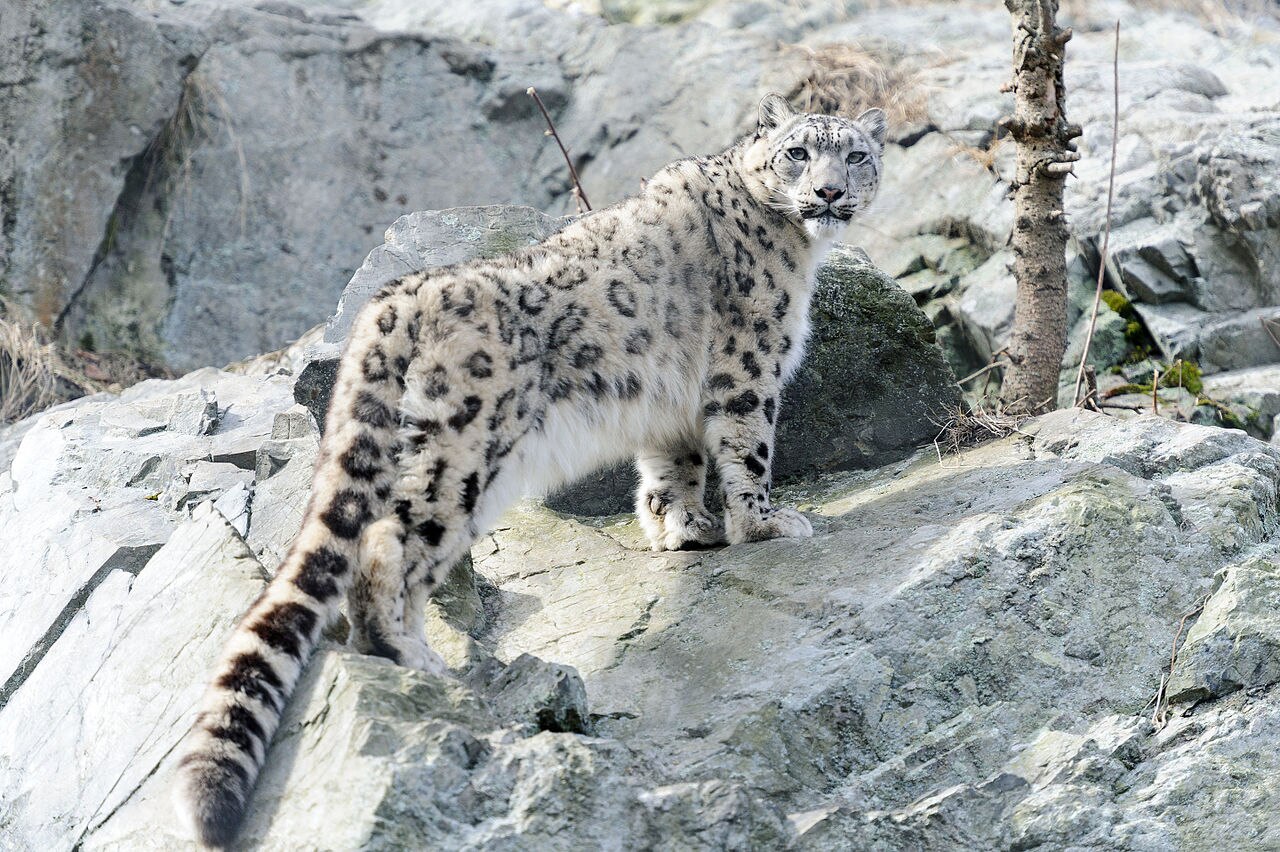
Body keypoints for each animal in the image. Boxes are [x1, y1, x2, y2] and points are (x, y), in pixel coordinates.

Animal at [174, 93, 886, 847]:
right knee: (391, 540)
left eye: (855, 154)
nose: (829, 192)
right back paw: (412, 657)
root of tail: (397, 297)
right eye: (798, 153)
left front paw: (686, 529)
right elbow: (747, 443)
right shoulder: (748, 363)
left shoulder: (669, 403)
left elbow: (675, 463)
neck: (796, 247)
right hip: (462, 456)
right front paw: (766, 523)